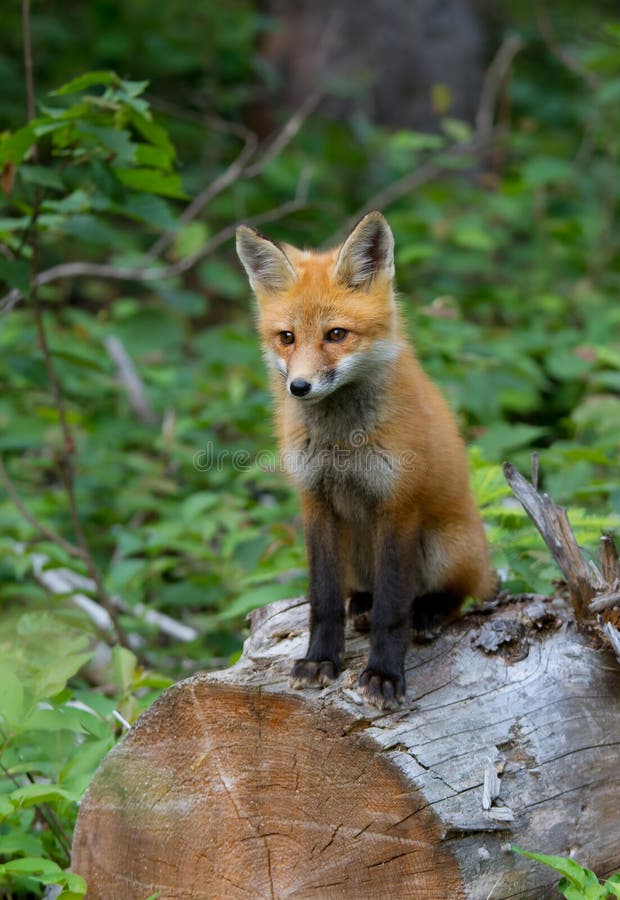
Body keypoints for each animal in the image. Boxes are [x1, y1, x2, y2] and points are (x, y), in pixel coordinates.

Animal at [236, 211, 496, 709]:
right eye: (287, 338)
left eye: (336, 334)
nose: (299, 387)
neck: (342, 445)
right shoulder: (314, 502)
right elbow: (322, 600)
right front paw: (320, 660)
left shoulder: (397, 504)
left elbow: (392, 610)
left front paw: (383, 675)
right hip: (354, 546)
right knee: (358, 592)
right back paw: (360, 604)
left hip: (443, 546)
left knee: (459, 594)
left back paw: (429, 611)